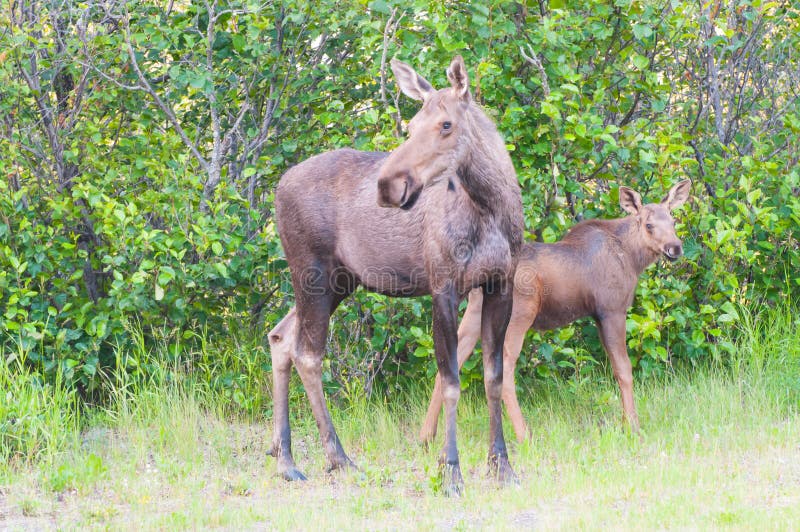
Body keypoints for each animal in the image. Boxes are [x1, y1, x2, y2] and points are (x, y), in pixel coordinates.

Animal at [268, 55, 524, 496]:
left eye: (446, 124)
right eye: (411, 125)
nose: (388, 185)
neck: (491, 207)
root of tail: (277, 188)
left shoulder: (500, 283)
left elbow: (493, 377)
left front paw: (501, 466)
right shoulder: (443, 286)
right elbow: (451, 380)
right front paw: (450, 471)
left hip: (340, 280)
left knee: (281, 336)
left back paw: (286, 459)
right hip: (313, 272)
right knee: (308, 353)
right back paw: (337, 458)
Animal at [420, 180, 692, 443]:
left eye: (674, 221)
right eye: (649, 225)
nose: (675, 247)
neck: (633, 258)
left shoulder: (599, 315)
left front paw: (626, 424)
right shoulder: (611, 309)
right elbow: (624, 370)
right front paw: (633, 427)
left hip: (476, 312)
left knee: (451, 360)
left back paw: (427, 437)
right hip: (520, 313)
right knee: (503, 366)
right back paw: (524, 435)